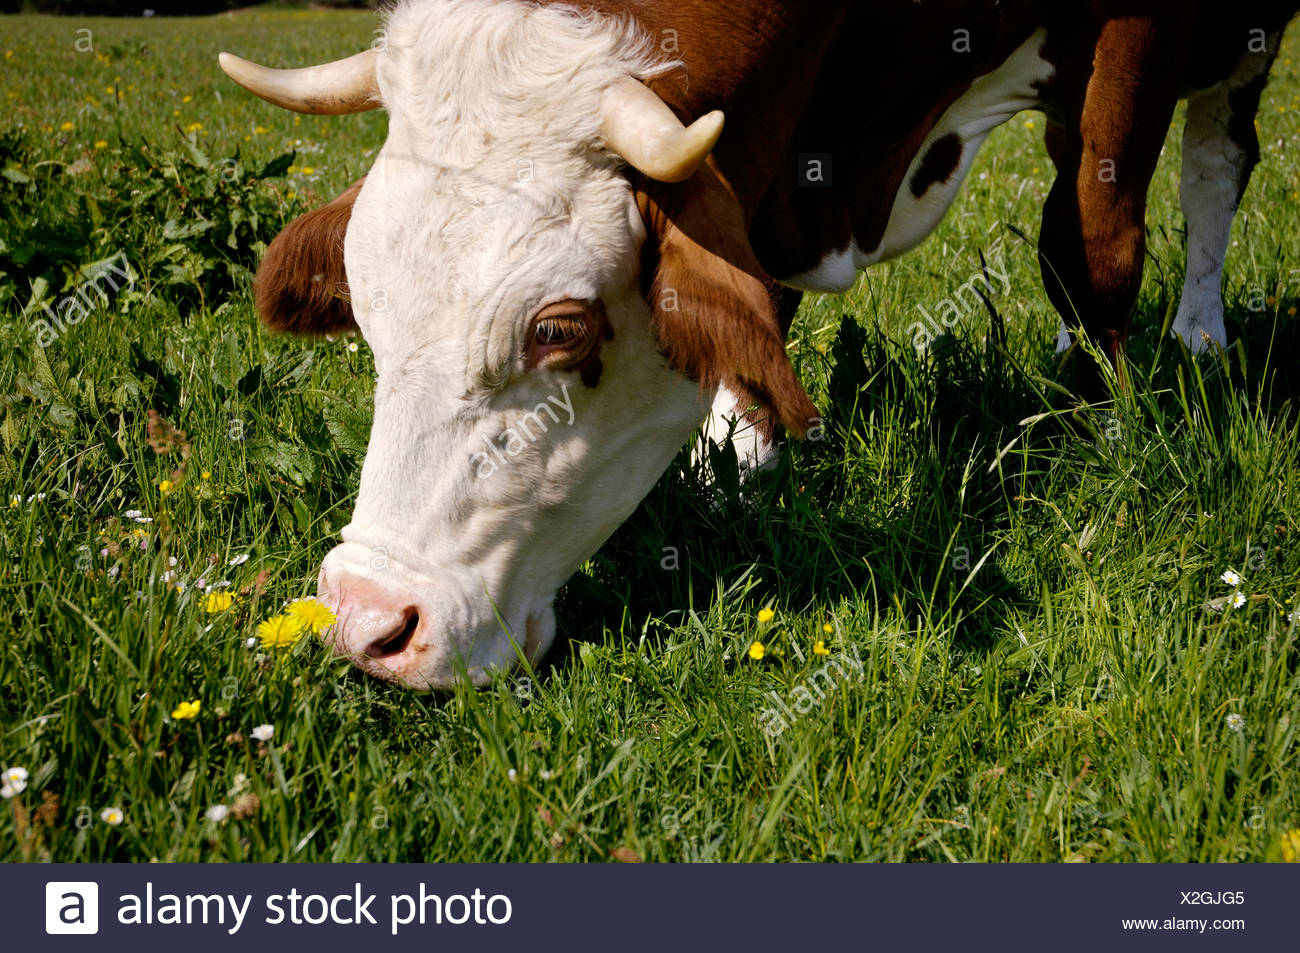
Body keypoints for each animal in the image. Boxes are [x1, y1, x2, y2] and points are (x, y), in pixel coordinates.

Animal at [218, 0, 1298, 689]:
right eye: (367, 307)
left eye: (559, 329)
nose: (365, 621)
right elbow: (752, 311)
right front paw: (736, 467)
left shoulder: (1136, 40)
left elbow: (1090, 245)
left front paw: (1101, 431)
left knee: (1218, 159)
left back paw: (1199, 337)